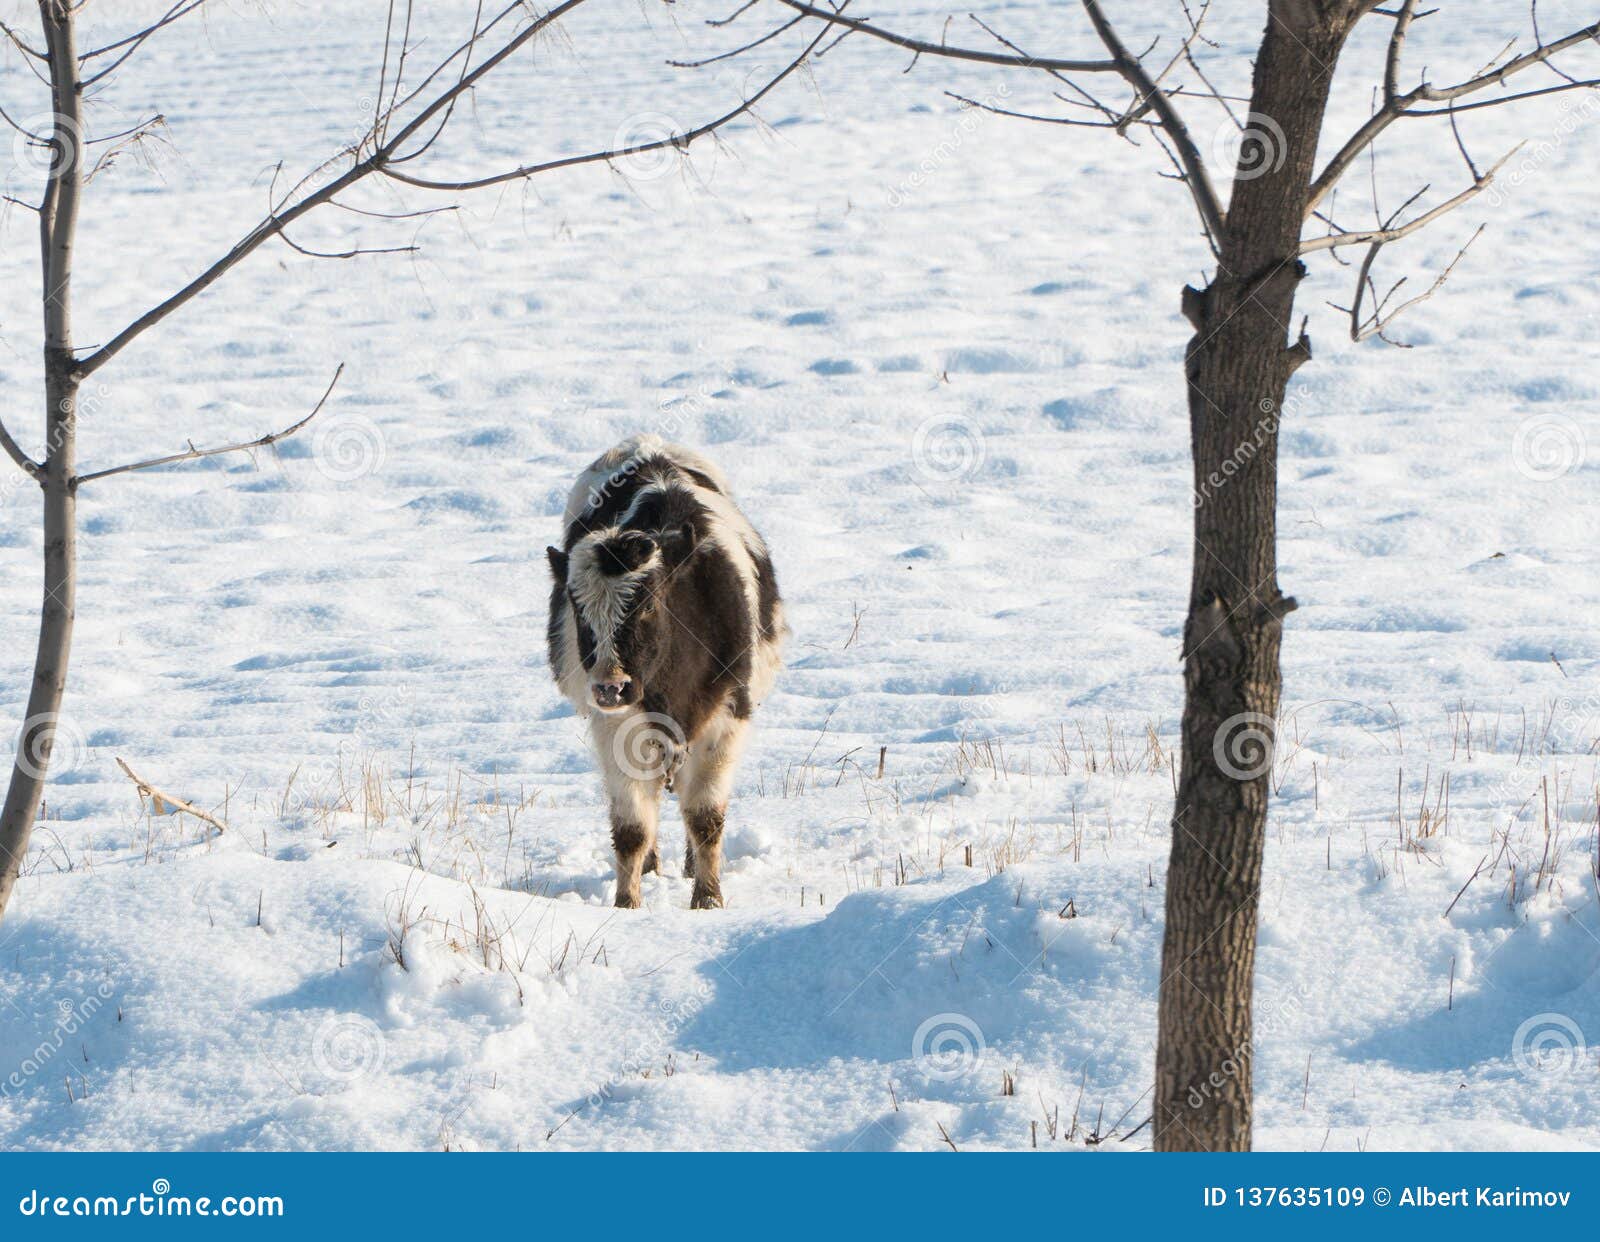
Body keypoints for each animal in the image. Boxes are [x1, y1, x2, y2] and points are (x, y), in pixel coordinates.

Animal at [546, 436, 785, 909]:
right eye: (578, 611)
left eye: (648, 605)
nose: (611, 688)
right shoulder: (616, 729)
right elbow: (632, 828)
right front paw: (627, 904)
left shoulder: (727, 719)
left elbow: (705, 817)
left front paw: (708, 899)